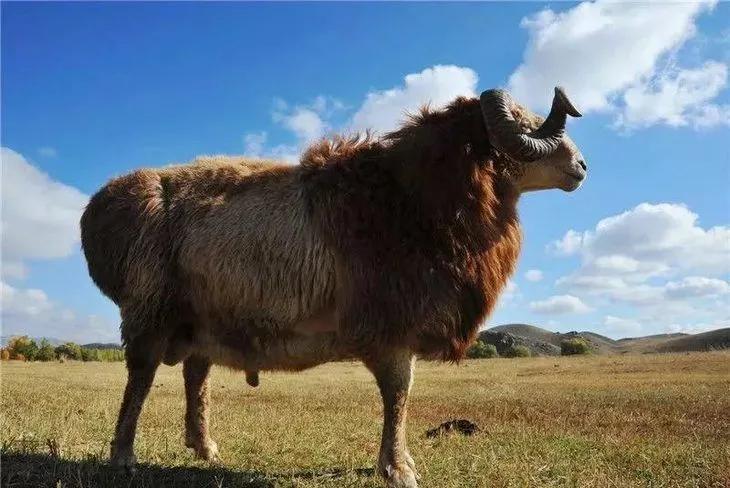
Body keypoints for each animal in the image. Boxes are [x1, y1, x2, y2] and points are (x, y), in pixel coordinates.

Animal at [80, 86, 586, 488]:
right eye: (523, 124)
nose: (582, 165)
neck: (412, 199)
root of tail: (103, 206)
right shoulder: (392, 328)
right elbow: (398, 393)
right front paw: (398, 470)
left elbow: (400, 395)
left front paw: (397, 463)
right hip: (150, 313)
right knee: (141, 378)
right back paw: (123, 458)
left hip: (201, 322)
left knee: (195, 375)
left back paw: (204, 448)